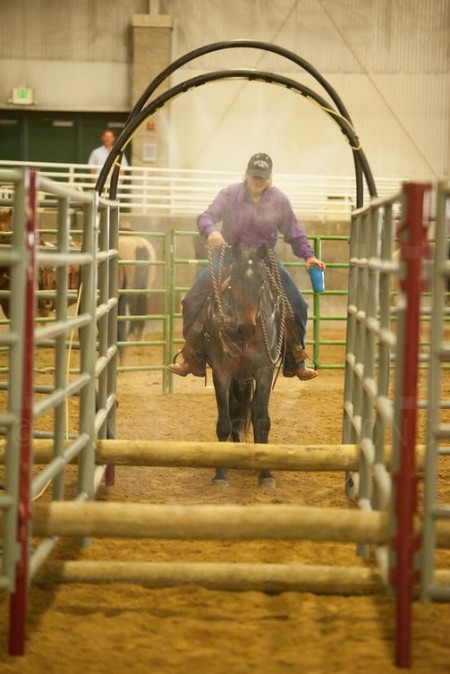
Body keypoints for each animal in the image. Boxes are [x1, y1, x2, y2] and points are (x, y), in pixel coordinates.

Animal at [203, 243, 286, 488]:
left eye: (261, 282)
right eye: (233, 282)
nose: (247, 327)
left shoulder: (264, 372)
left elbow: (262, 420)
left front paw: (266, 474)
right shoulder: (221, 373)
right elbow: (224, 422)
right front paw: (220, 475)